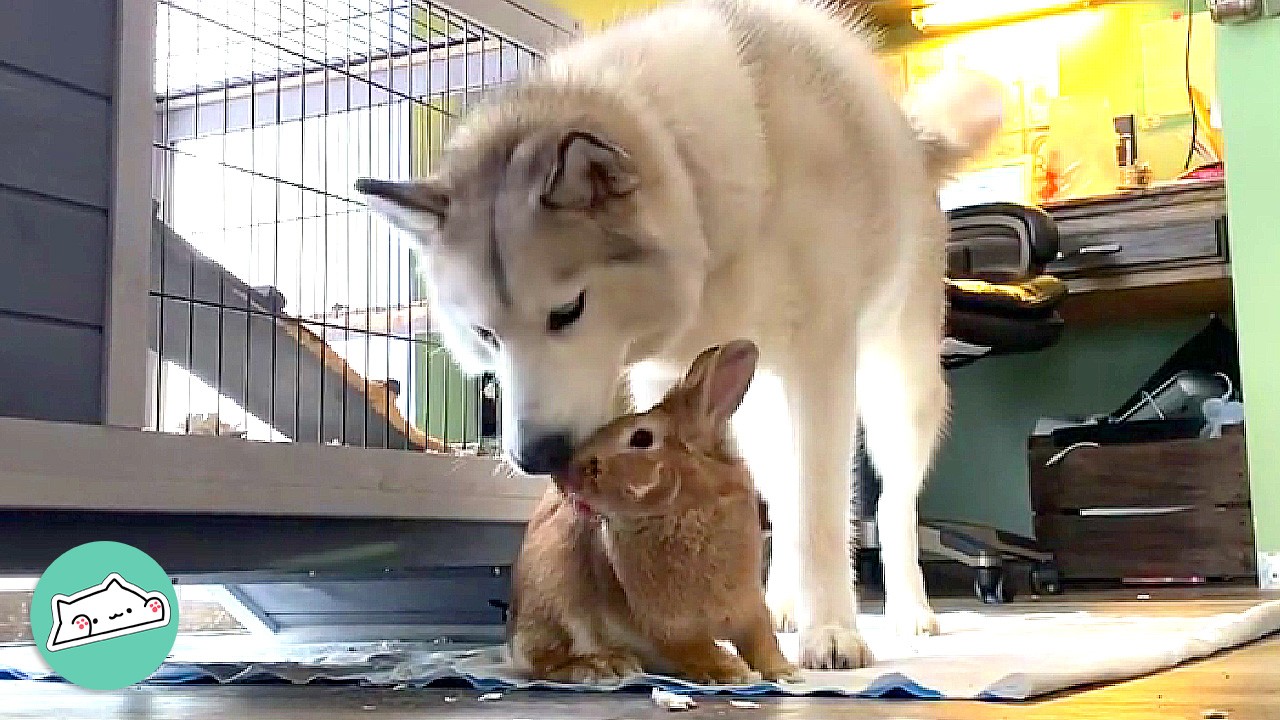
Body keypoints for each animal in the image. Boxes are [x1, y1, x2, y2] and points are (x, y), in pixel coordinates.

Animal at [508, 339, 801, 685]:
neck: (684, 508)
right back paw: (604, 665)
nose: (566, 474)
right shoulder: (670, 626)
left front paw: (785, 672)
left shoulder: (749, 607)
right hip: (553, 591)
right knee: (543, 659)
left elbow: (762, 640)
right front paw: (732, 672)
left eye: (642, 437)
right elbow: (698, 649)